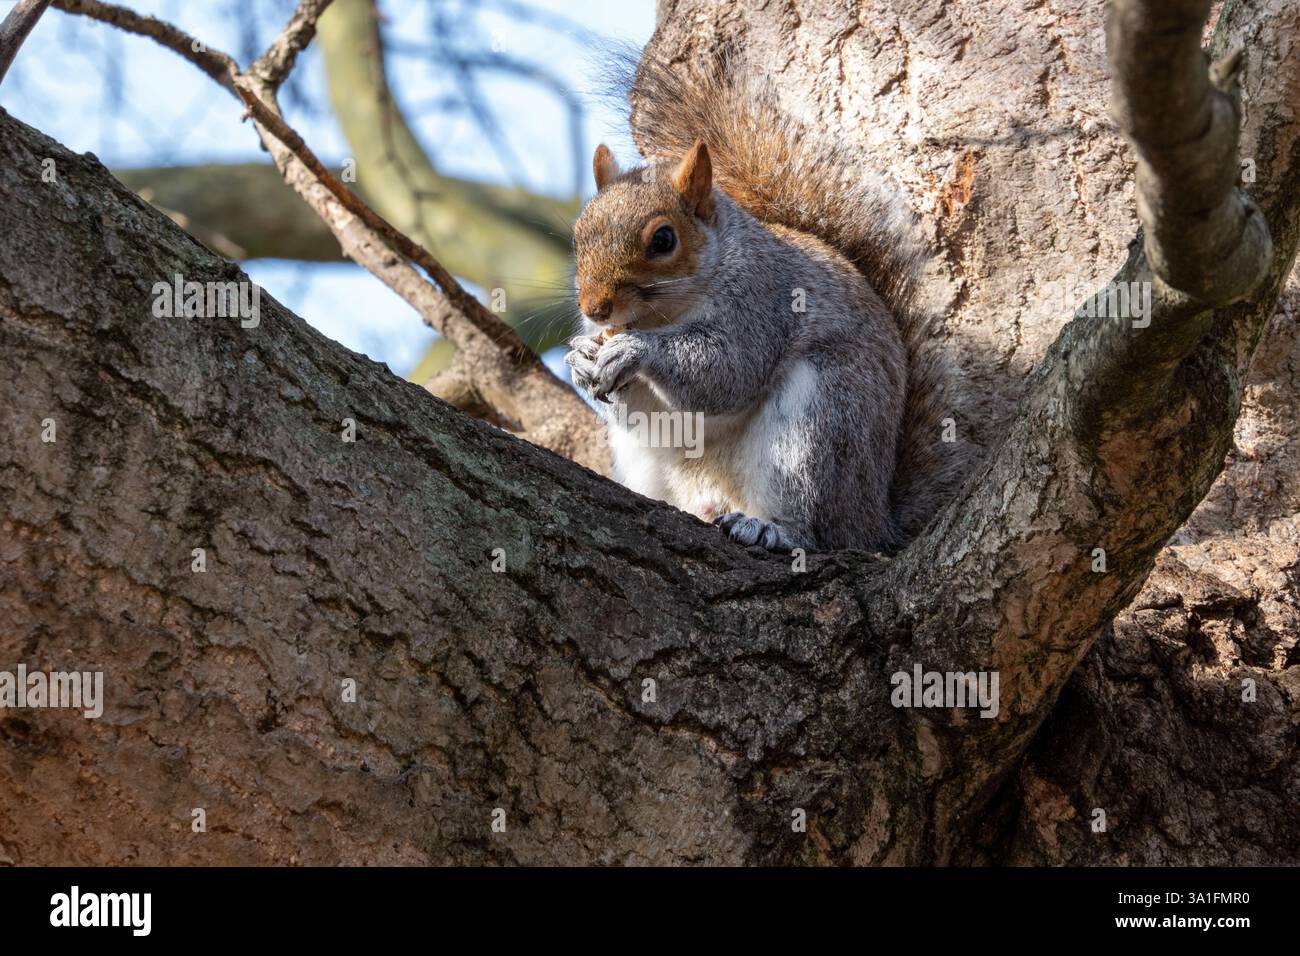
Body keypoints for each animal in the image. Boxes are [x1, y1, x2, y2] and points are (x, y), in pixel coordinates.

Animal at [564, 55, 966, 553]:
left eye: (663, 239)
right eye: (577, 235)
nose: (595, 309)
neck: (666, 314)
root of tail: (873, 522)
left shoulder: (764, 301)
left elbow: (727, 368)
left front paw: (636, 350)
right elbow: (647, 414)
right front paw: (582, 357)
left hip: (818, 425)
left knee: (811, 526)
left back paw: (771, 529)